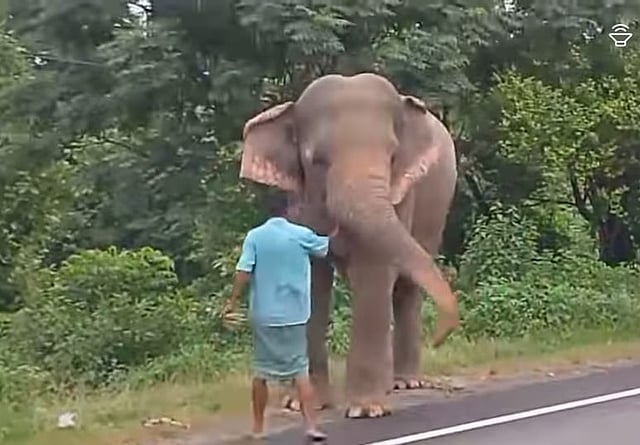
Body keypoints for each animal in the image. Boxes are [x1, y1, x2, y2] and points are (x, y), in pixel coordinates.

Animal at [239, 73, 460, 418]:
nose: (438, 339)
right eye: (316, 161)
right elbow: (313, 279)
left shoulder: (401, 194)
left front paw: (366, 410)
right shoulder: (300, 197)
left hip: (437, 205)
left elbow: (374, 270)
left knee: (405, 288)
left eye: (392, 156)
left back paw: (403, 383)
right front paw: (304, 404)